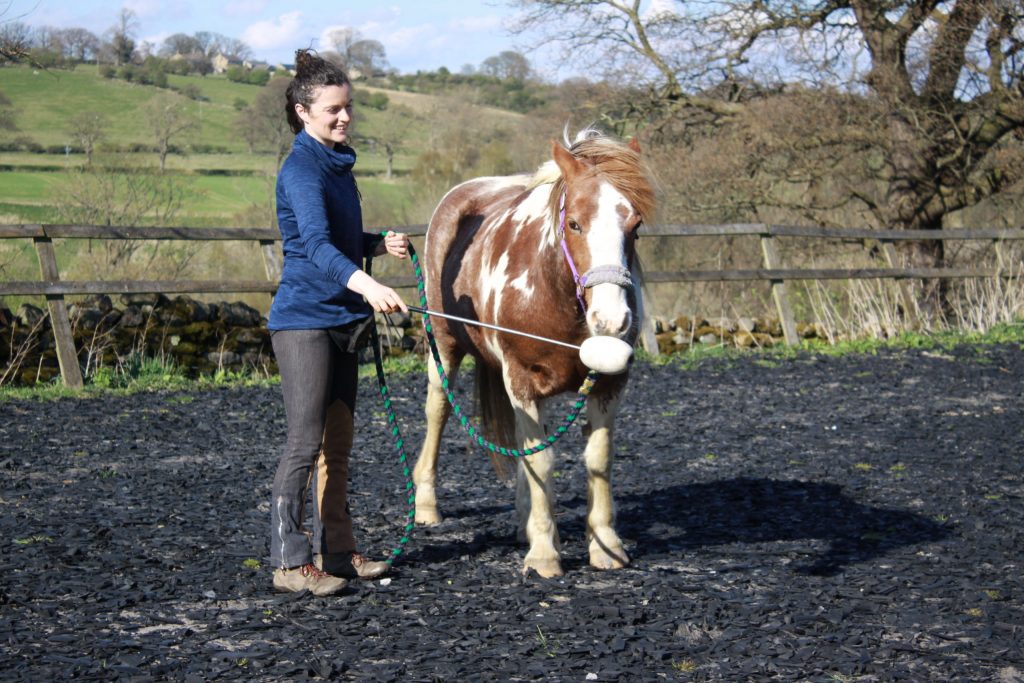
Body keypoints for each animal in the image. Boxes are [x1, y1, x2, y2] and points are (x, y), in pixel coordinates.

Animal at [412, 128, 655, 578]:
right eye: (574, 223)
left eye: (635, 226)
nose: (611, 320)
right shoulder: (521, 378)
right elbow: (541, 460)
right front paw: (544, 553)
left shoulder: (608, 385)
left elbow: (598, 458)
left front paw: (606, 546)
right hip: (444, 345)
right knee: (438, 410)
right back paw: (427, 504)